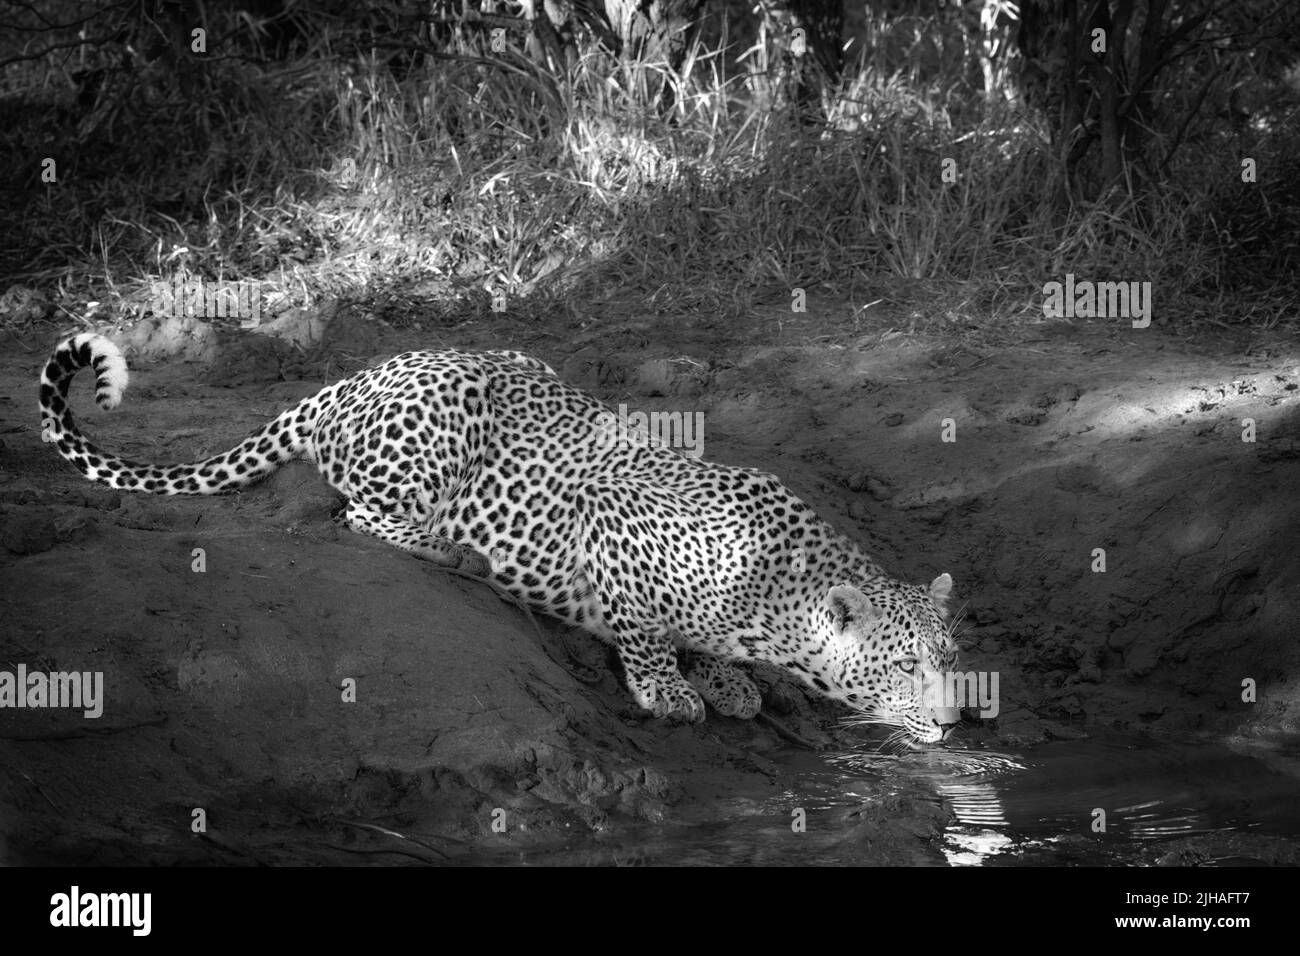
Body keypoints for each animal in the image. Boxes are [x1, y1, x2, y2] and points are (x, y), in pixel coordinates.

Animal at [39, 333, 963, 745]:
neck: (775, 592)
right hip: (438, 428)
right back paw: (457, 552)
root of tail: (352, 377)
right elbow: (642, 627)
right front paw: (669, 688)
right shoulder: (613, 520)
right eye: (902, 667)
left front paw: (727, 679)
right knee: (359, 515)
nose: (954, 722)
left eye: (948, 659)